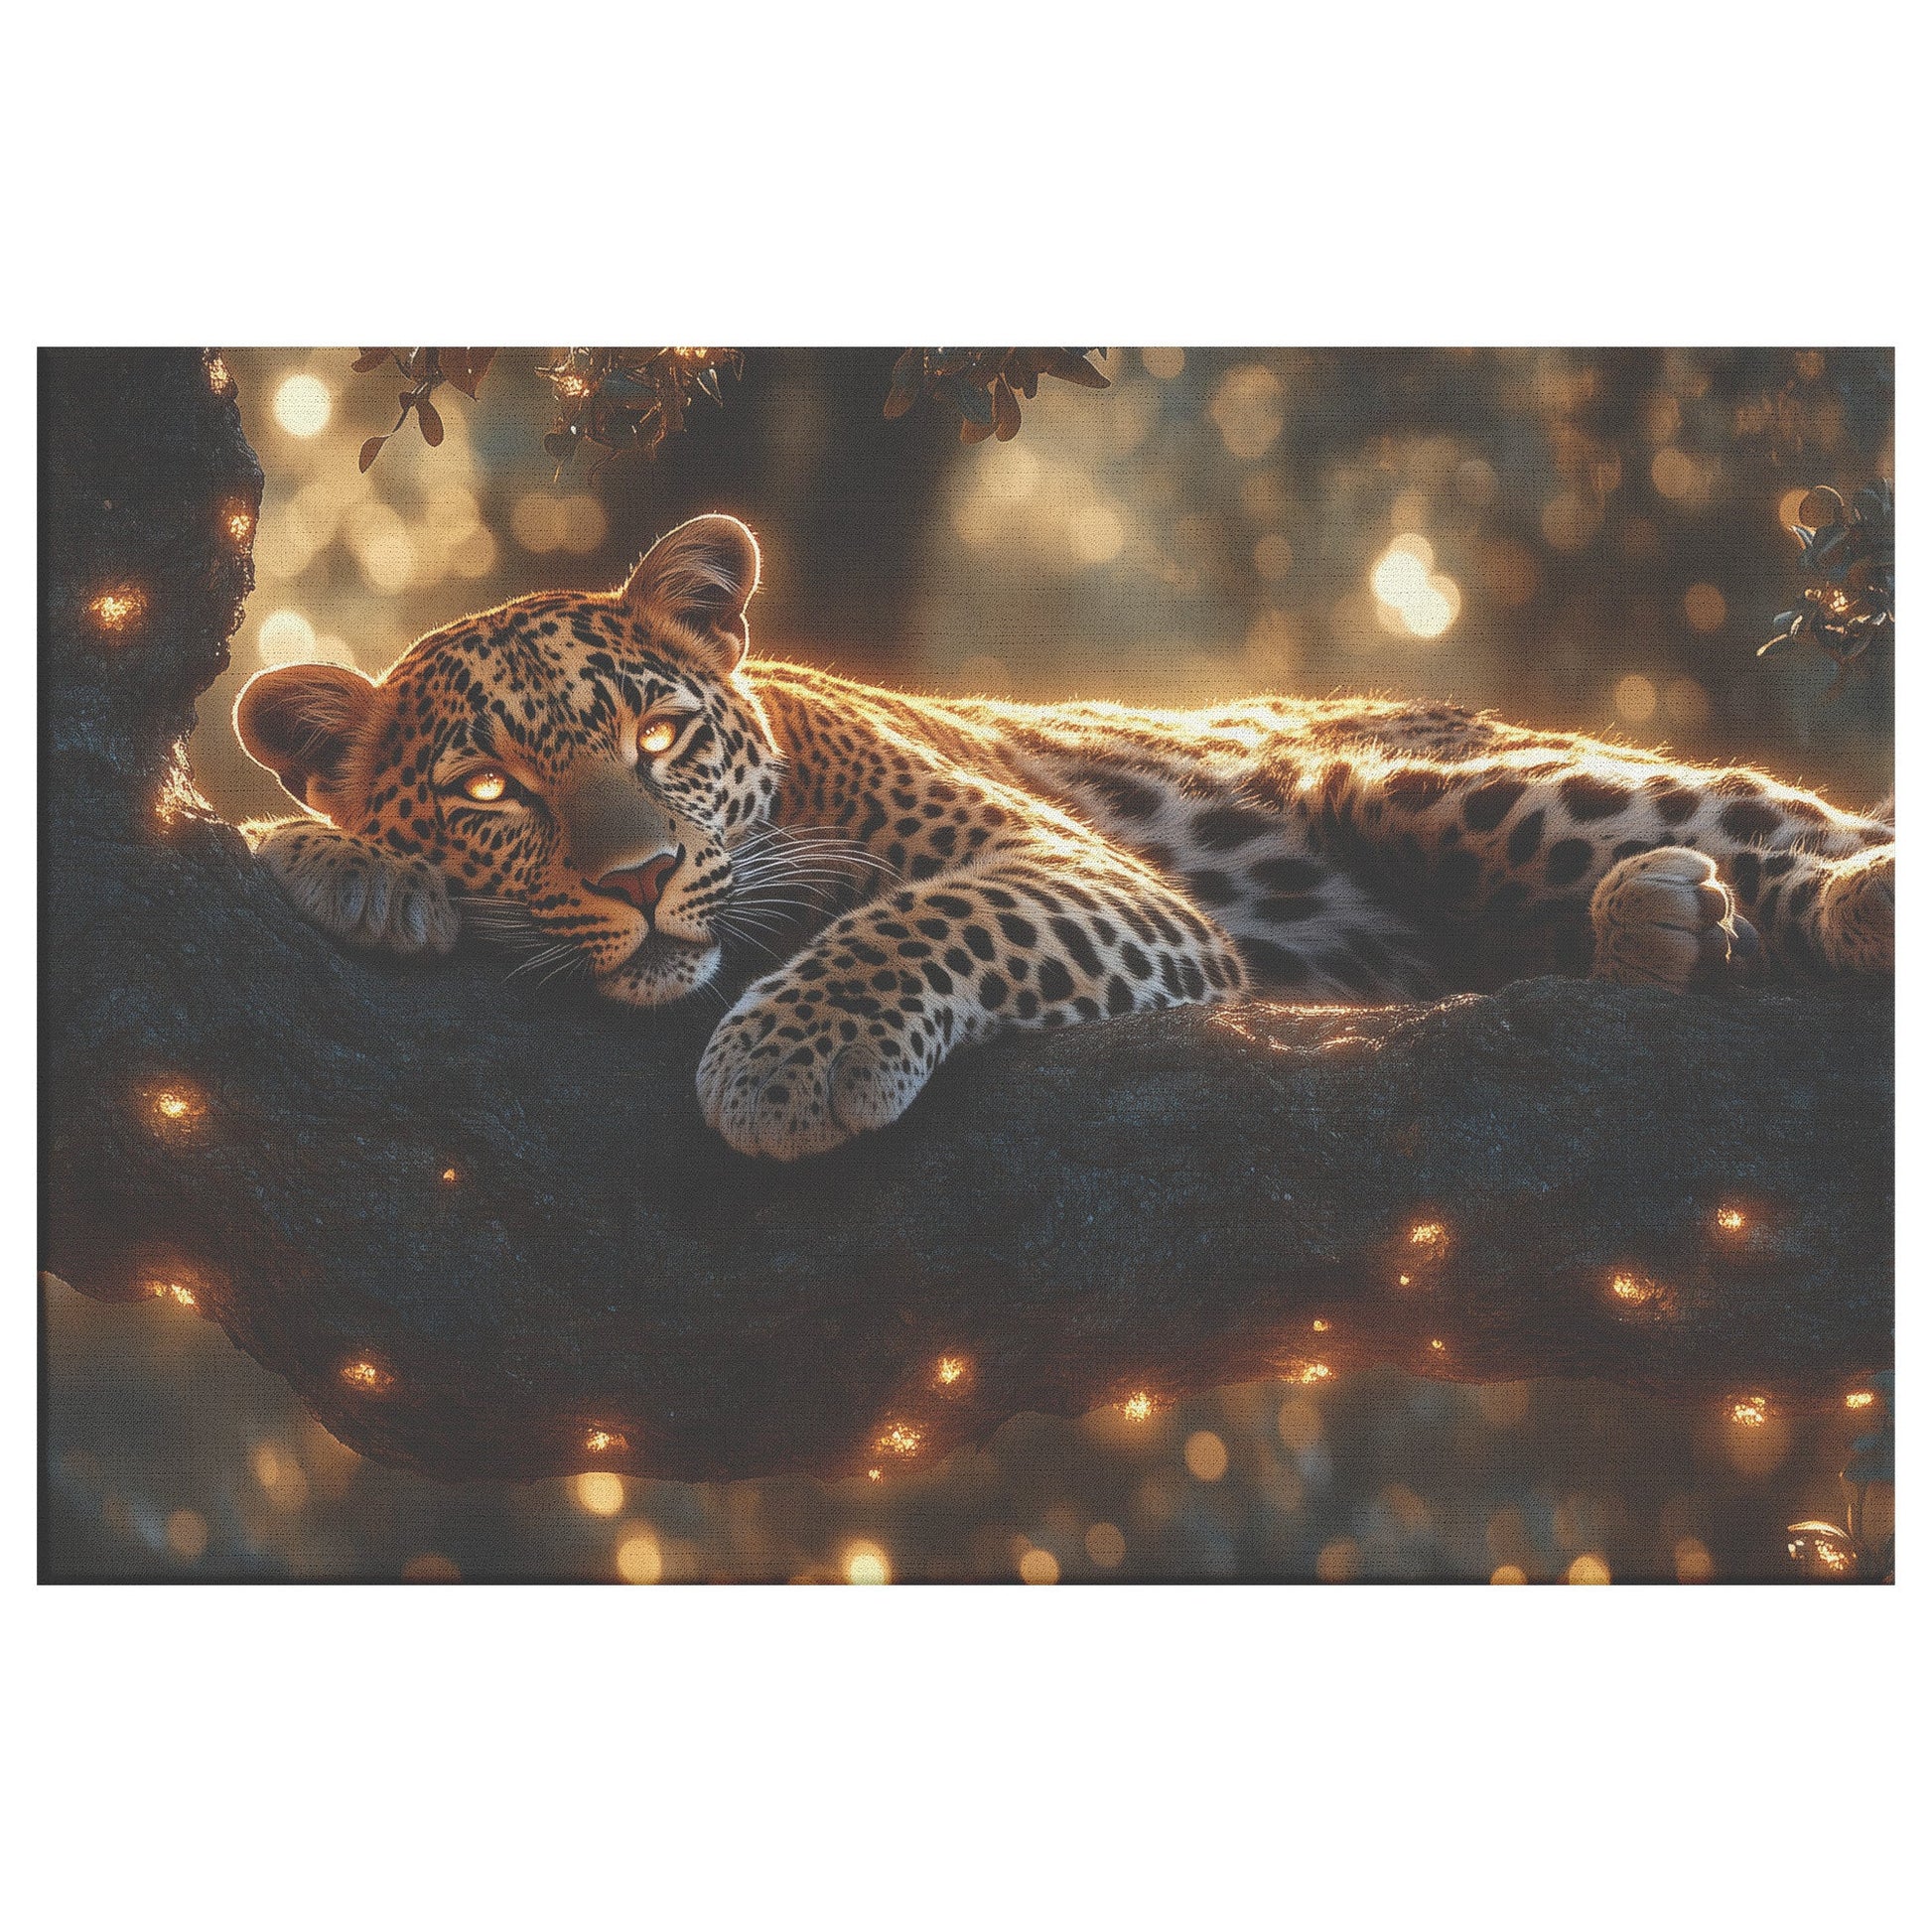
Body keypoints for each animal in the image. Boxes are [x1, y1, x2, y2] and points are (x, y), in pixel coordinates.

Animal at [234, 513, 1895, 1160]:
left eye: (655, 740)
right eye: (489, 795)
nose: (638, 881)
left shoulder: (1078, 869)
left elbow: (921, 918)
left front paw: (782, 1061)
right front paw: (349, 871)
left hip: (1427, 783)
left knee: (1793, 824)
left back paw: (1833, 902)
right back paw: (1667, 928)